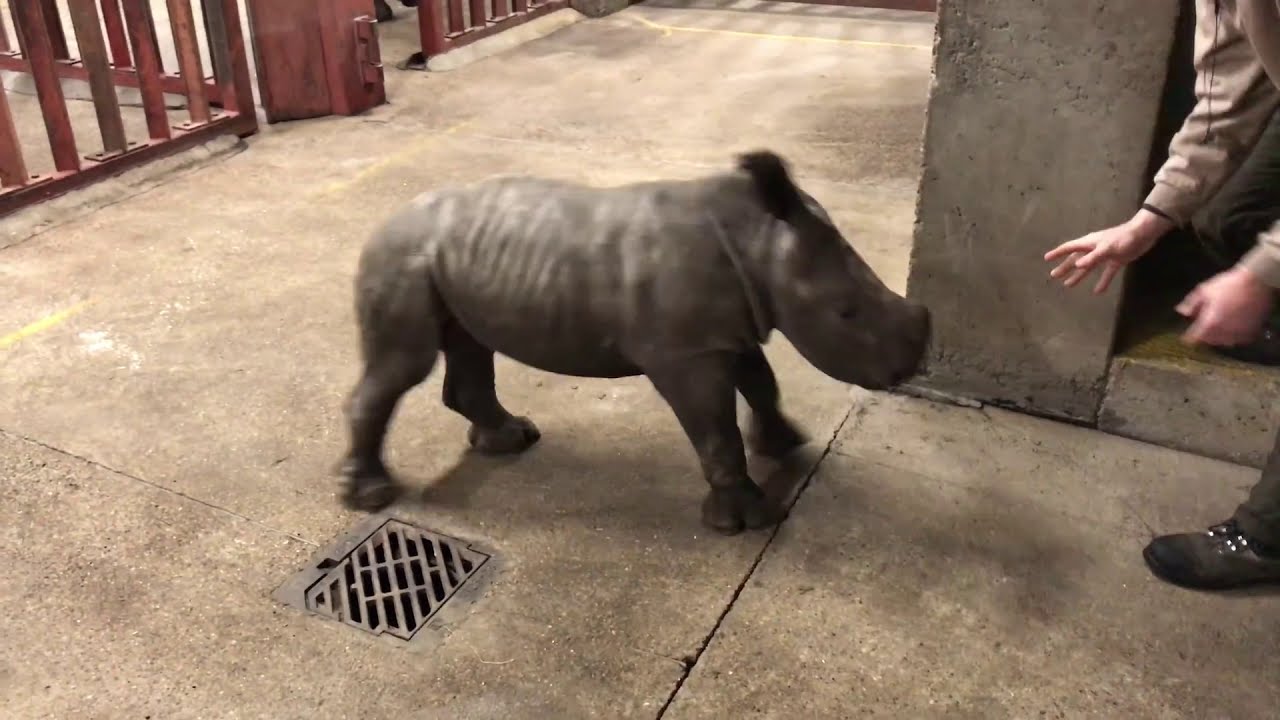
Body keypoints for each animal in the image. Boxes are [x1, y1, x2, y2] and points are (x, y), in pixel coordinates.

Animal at [339, 151, 930, 535]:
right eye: (846, 312)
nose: (912, 363)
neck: (756, 241)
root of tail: (380, 223)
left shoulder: (724, 331)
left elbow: (762, 384)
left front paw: (786, 444)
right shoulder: (685, 353)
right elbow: (715, 429)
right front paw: (746, 521)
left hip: (448, 260)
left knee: (468, 342)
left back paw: (512, 440)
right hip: (402, 259)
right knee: (405, 365)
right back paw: (371, 497)